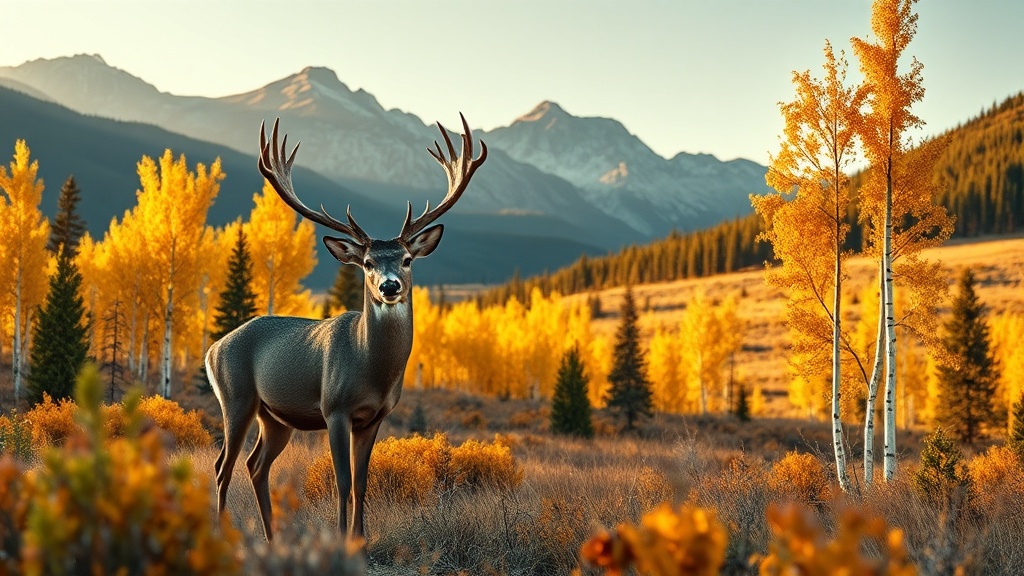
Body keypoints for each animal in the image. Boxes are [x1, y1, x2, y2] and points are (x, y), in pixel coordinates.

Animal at [205, 114, 487, 542]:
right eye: (367, 263)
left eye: (406, 259)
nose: (390, 286)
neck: (371, 370)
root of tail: (212, 349)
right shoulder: (334, 407)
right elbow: (341, 480)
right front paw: (340, 538)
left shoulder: (374, 417)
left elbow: (362, 481)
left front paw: (360, 540)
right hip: (236, 397)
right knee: (223, 465)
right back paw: (222, 534)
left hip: (275, 417)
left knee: (256, 465)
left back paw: (272, 537)